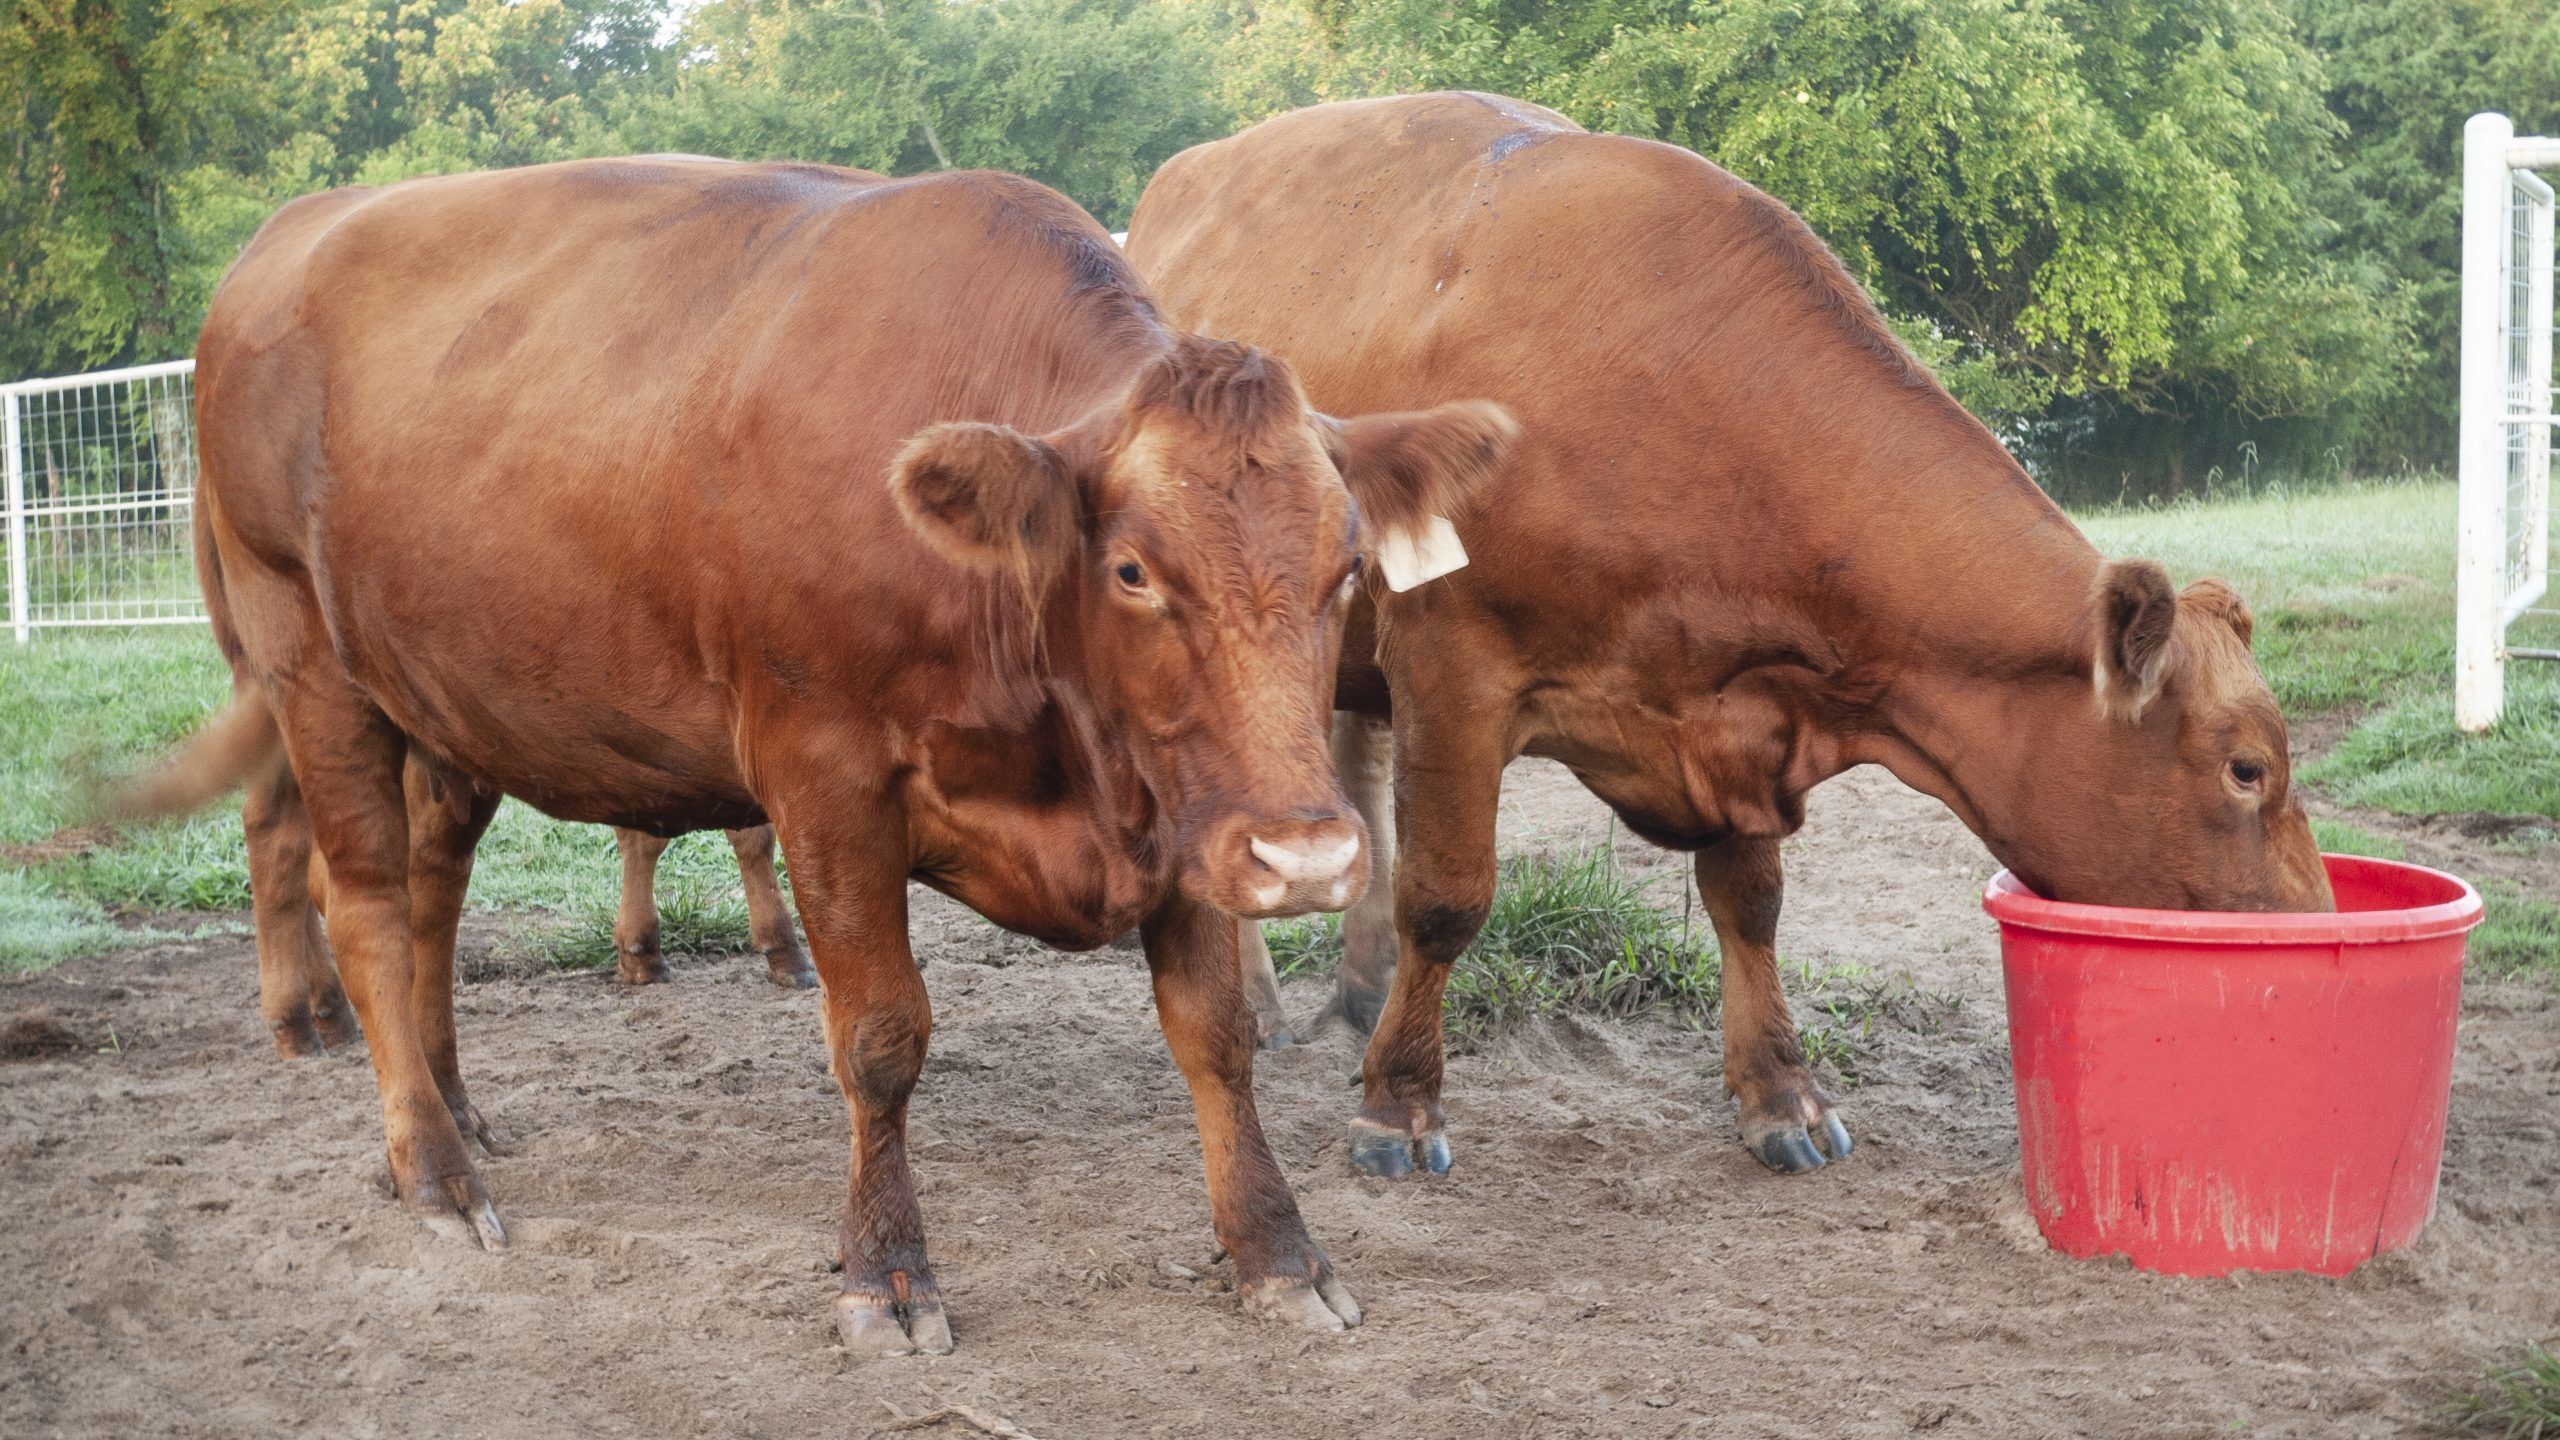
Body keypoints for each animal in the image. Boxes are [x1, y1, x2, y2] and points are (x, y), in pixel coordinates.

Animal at [133, 154, 1515, 1352]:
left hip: (442, 706)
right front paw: (884, 1274)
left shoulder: (1178, 806)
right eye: (1131, 570)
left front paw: (1277, 1253)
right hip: (308, 664)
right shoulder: (825, 779)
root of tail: (292, 234)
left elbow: (1215, 1035)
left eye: (1348, 567)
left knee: (431, 893)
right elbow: (882, 1040)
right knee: (364, 902)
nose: (1308, 855)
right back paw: (432, 1170)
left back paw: (448, 1109)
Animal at [1124, 92, 2332, 1181]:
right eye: (2245, 770)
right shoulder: (1452, 663)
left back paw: (1358, 986)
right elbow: (1449, 898)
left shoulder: (1740, 711)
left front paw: (1783, 1096)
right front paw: (1398, 1107)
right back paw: (1268, 1004)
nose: (2316, 931)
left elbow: (1751, 903)